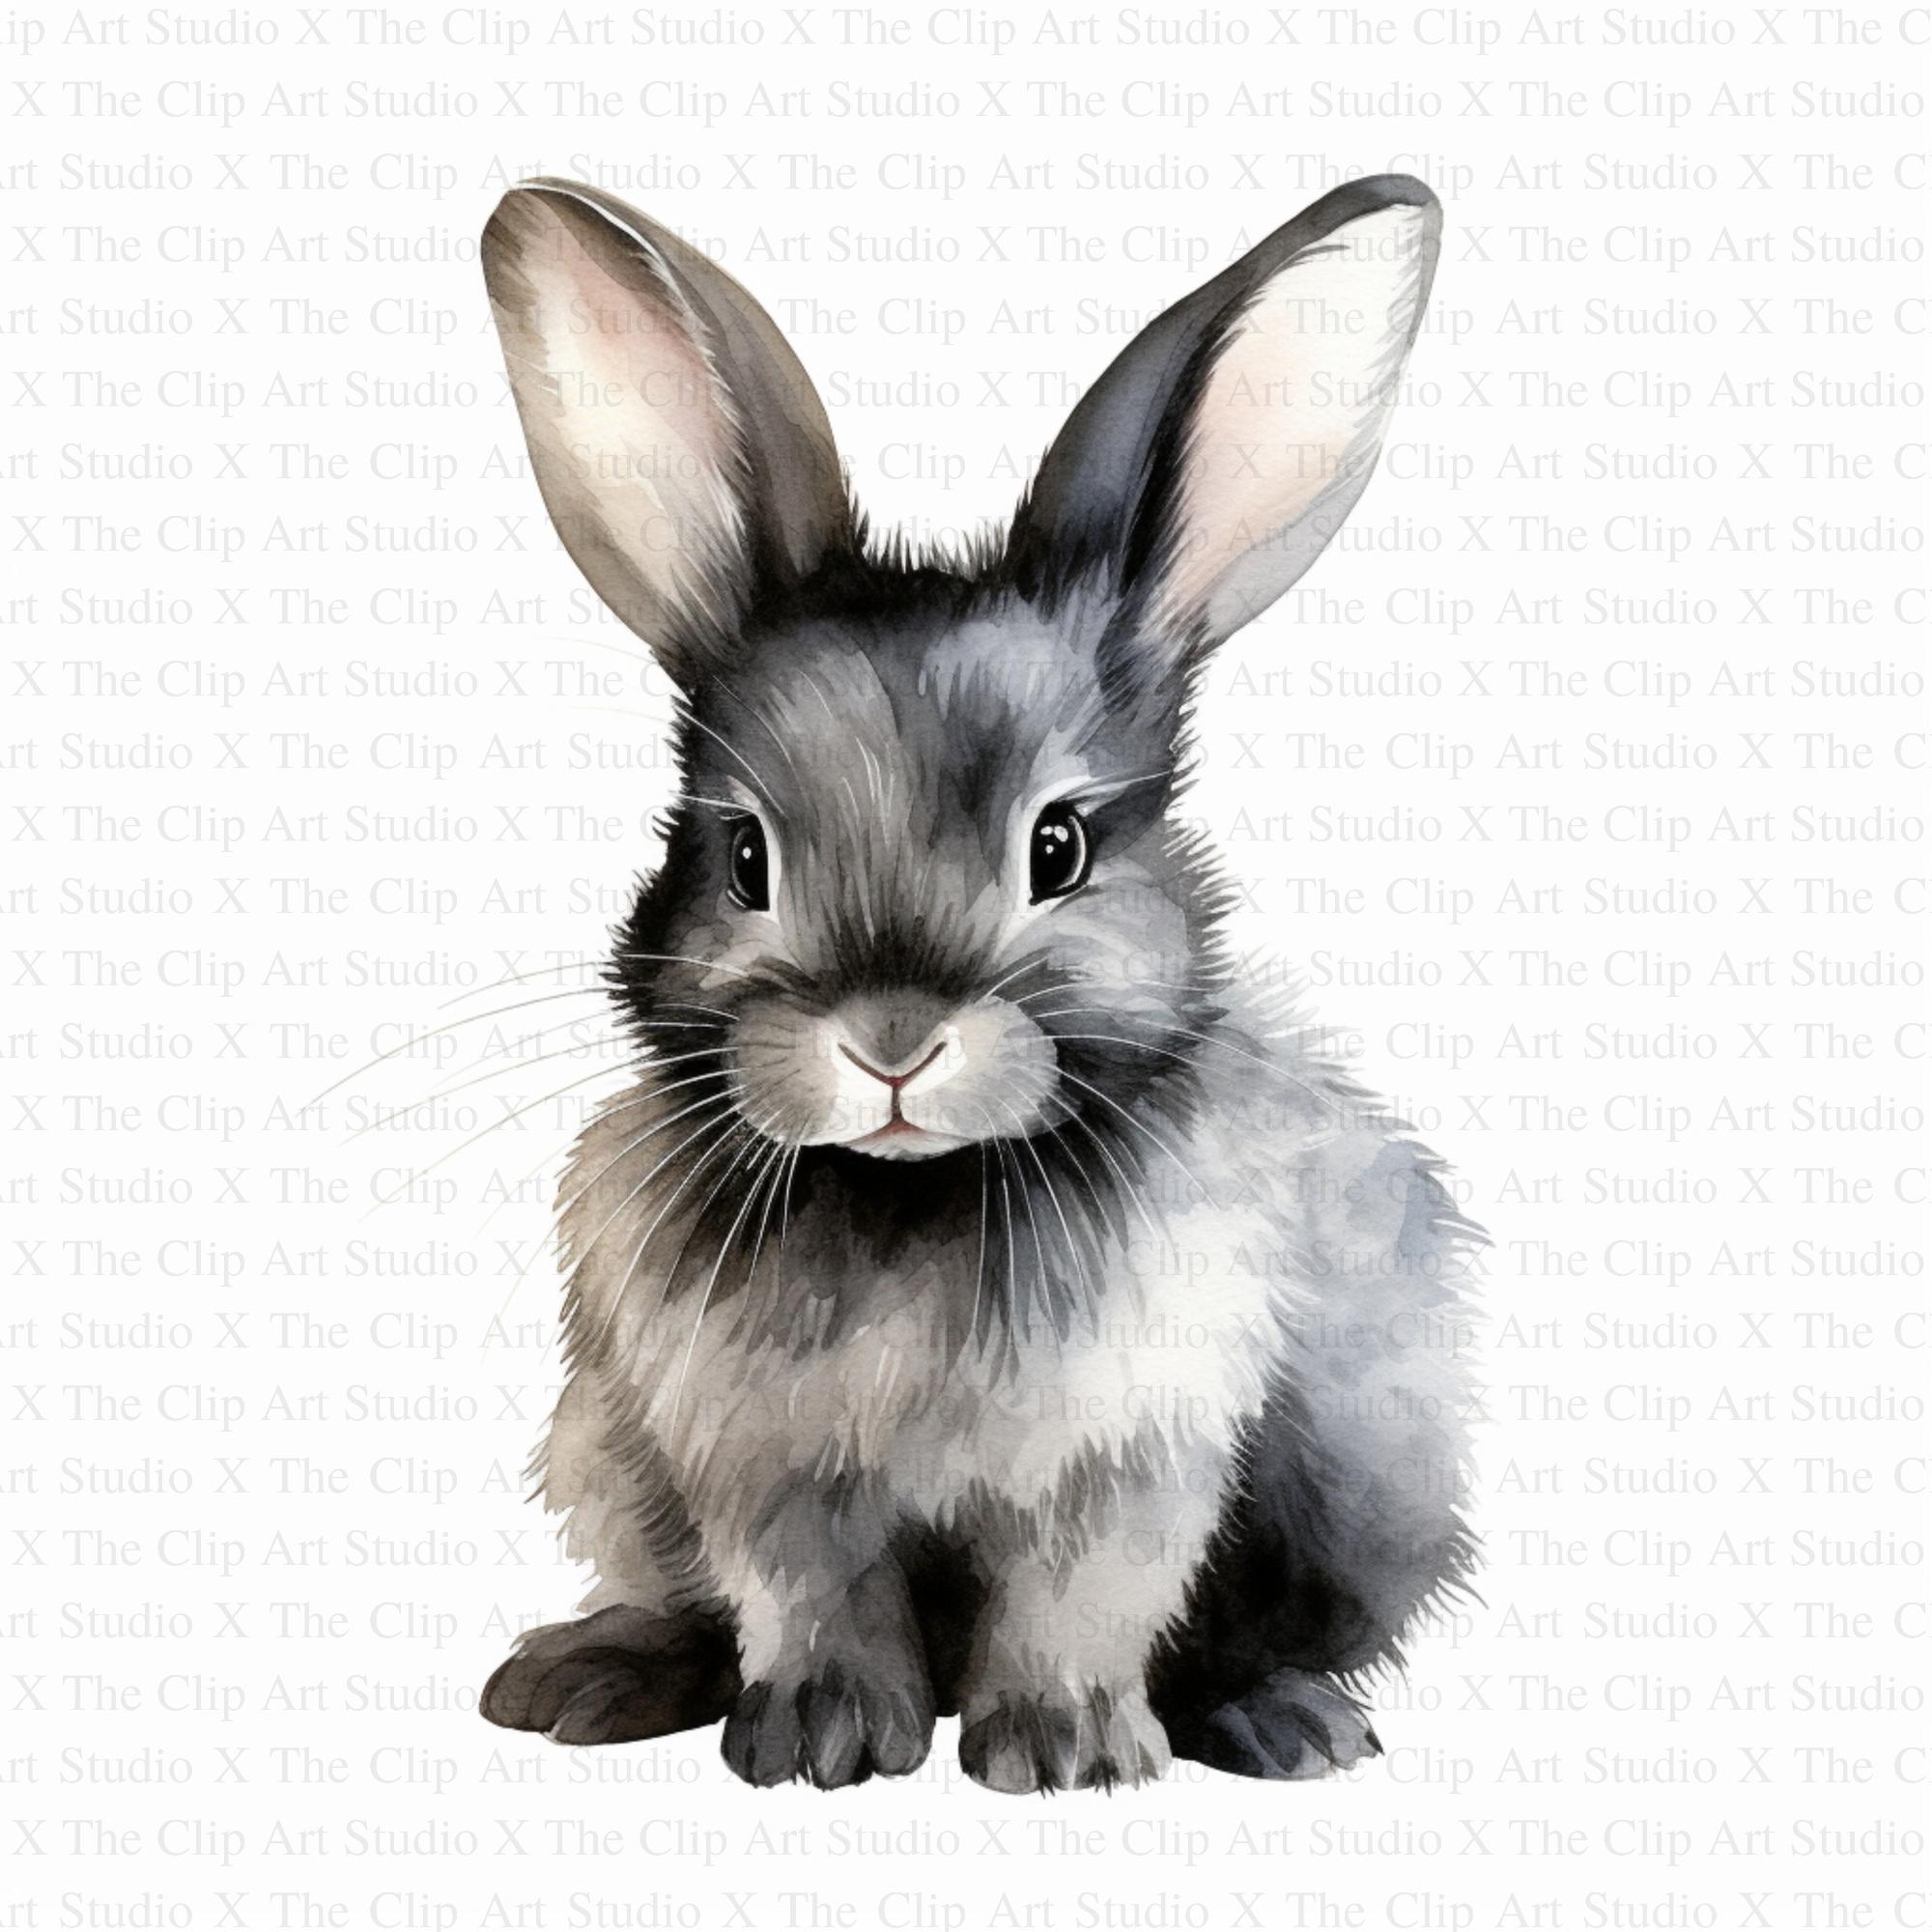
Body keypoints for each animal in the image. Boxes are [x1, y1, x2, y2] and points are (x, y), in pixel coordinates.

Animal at [474, 173, 1481, 1793]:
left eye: (1057, 846)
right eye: (743, 855)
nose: (892, 1045)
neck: (918, 1198)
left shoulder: (1133, 1456)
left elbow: (1082, 1598)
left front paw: (1064, 1757)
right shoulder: (764, 1470)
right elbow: (808, 1596)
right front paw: (817, 1741)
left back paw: (1286, 1725)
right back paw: (584, 1676)